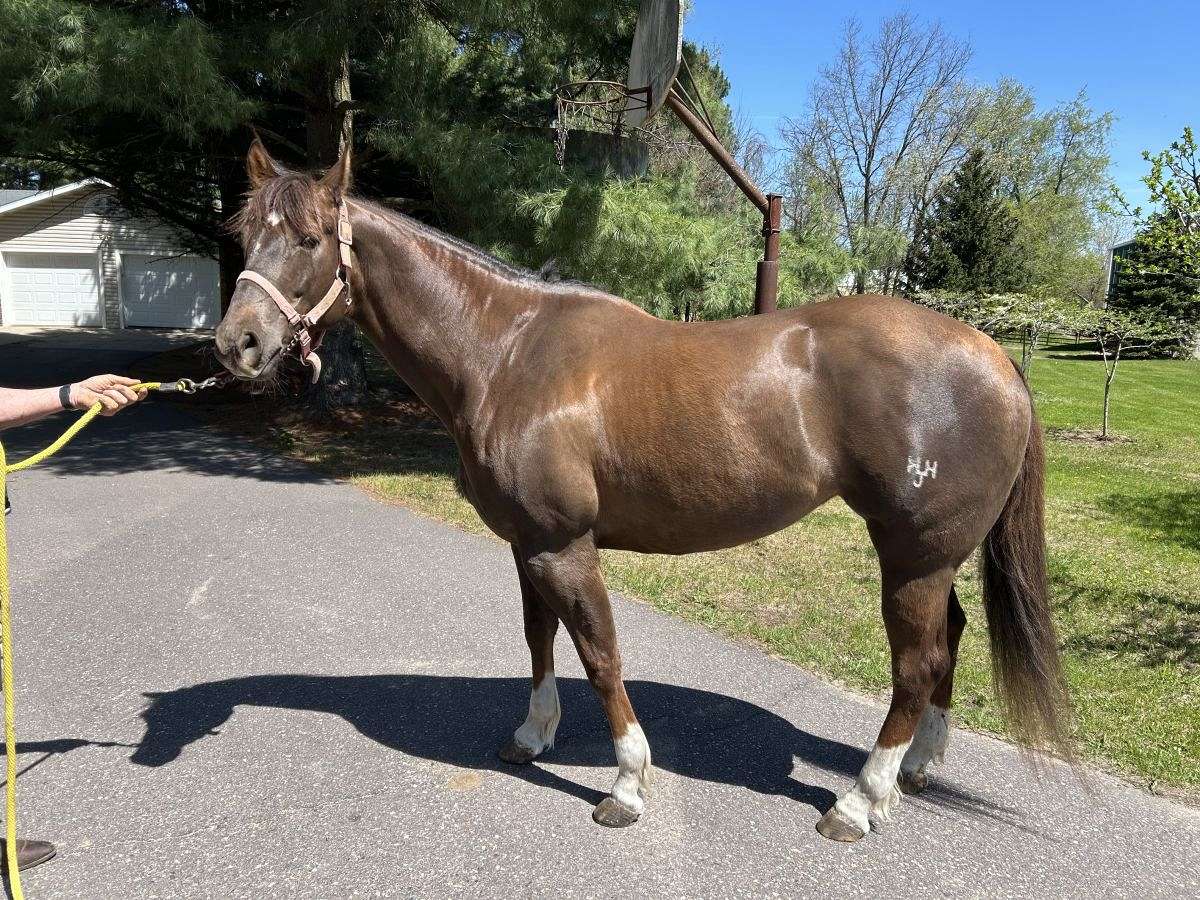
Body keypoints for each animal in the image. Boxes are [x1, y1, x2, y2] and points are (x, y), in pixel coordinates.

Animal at [214, 140, 1071, 842]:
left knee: (916, 664)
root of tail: (994, 353)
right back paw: (915, 772)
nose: (238, 344)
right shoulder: (528, 544)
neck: (507, 350)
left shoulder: (565, 546)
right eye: (245, 236)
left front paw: (626, 784)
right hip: (930, 555)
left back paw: (859, 802)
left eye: (309, 240)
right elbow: (539, 639)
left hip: (914, 556)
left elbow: (600, 654)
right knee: (949, 641)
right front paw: (534, 736)